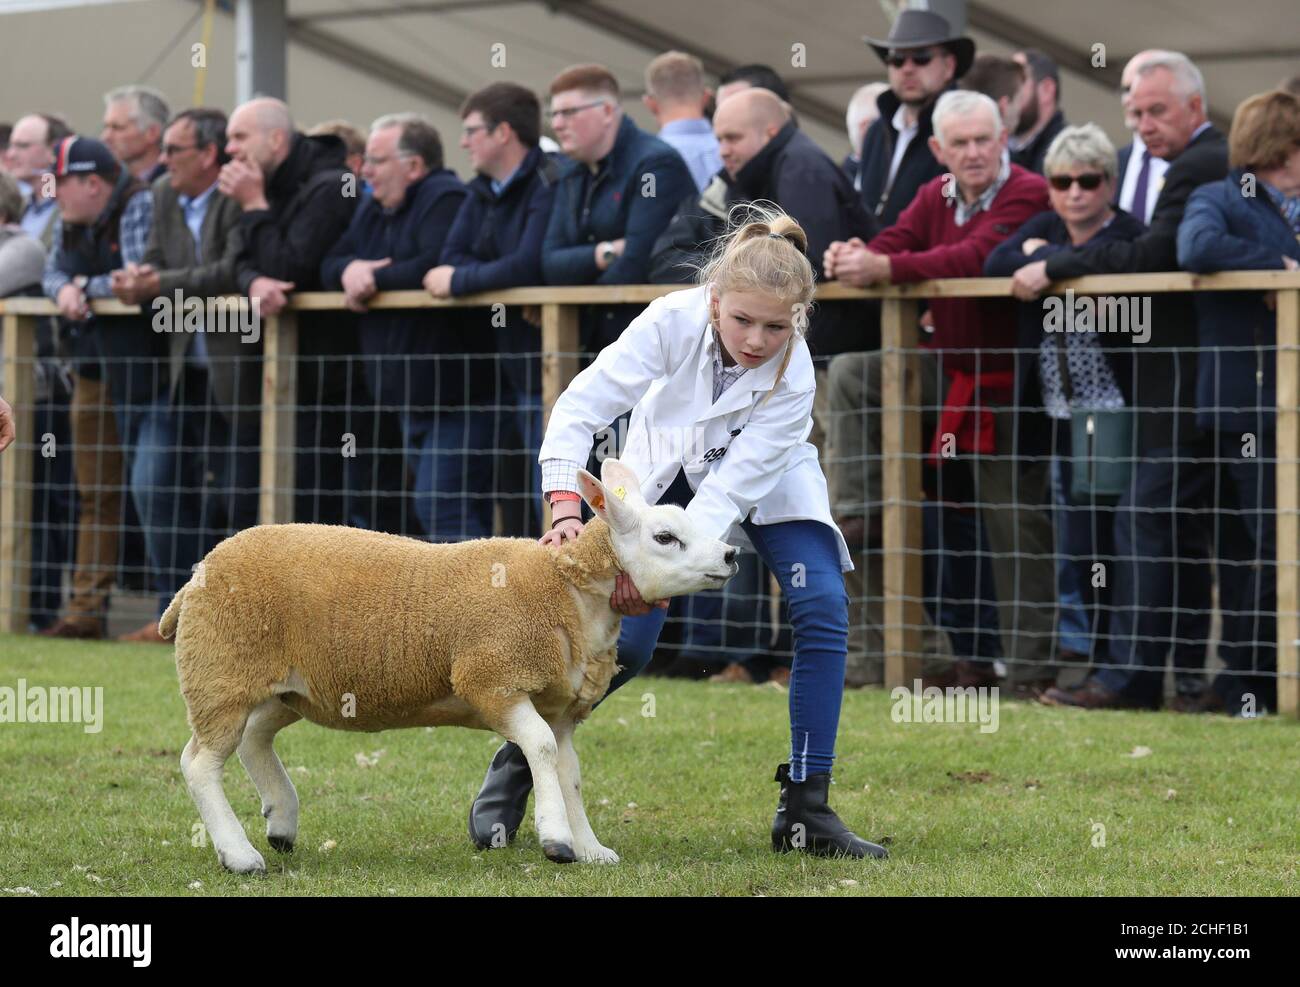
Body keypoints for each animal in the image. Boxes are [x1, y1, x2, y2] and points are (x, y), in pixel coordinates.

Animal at [162, 458, 738, 874]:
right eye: (665, 538)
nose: (731, 555)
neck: (563, 590)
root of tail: (197, 574)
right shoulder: (494, 679)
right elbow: (541, 749)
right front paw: (557, 839)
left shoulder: (558, 706)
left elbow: (568, 771)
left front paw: (591, 848)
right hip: (221, 671)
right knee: (200, 763)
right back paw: (240, 855)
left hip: (290, 686)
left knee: (255, 738)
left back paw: (281, 820)